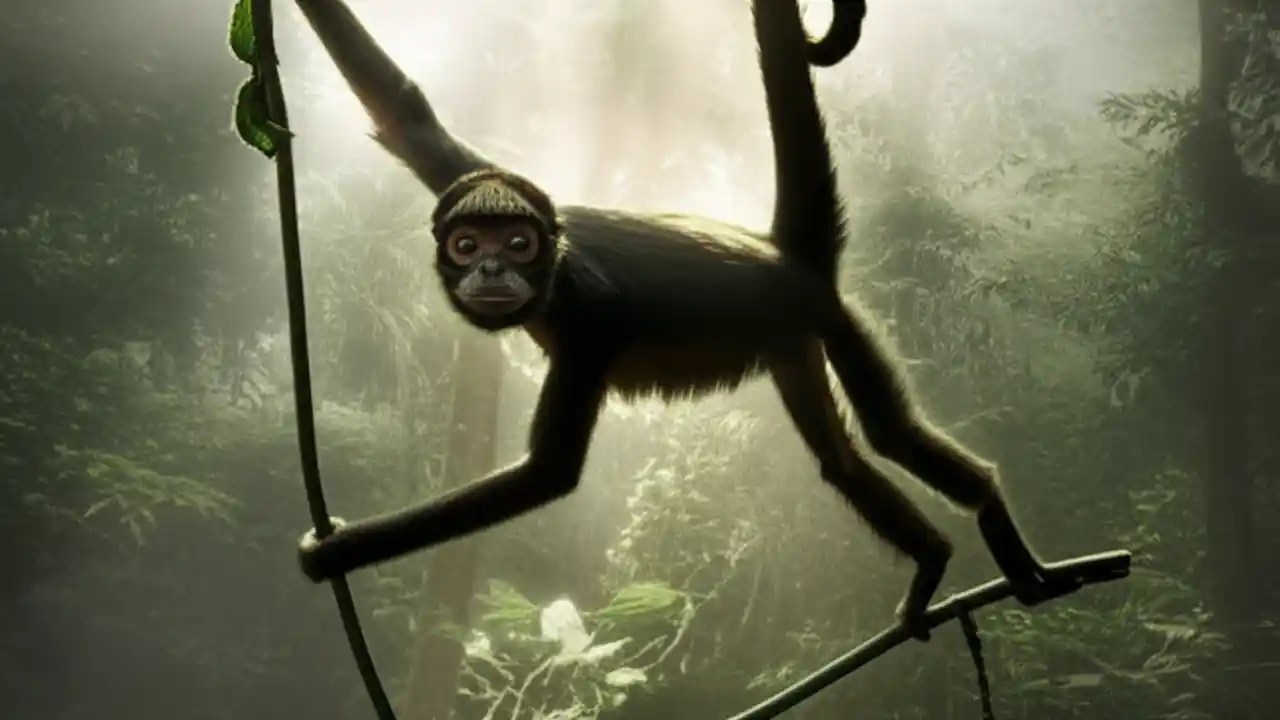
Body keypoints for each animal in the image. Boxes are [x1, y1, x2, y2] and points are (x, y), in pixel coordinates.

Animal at [292, 0, 1084, 636]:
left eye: (516, 244)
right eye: (467, 244)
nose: (491, 269)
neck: (551, 282)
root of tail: (780, 253)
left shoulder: (590, 320)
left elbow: (548, 475)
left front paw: (334, 551)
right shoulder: (471, 180)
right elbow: (406, 114)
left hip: (830, 318)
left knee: (890, 431)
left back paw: (989, 522)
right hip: (793, 342)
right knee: (842, 460)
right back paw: (933, 562)